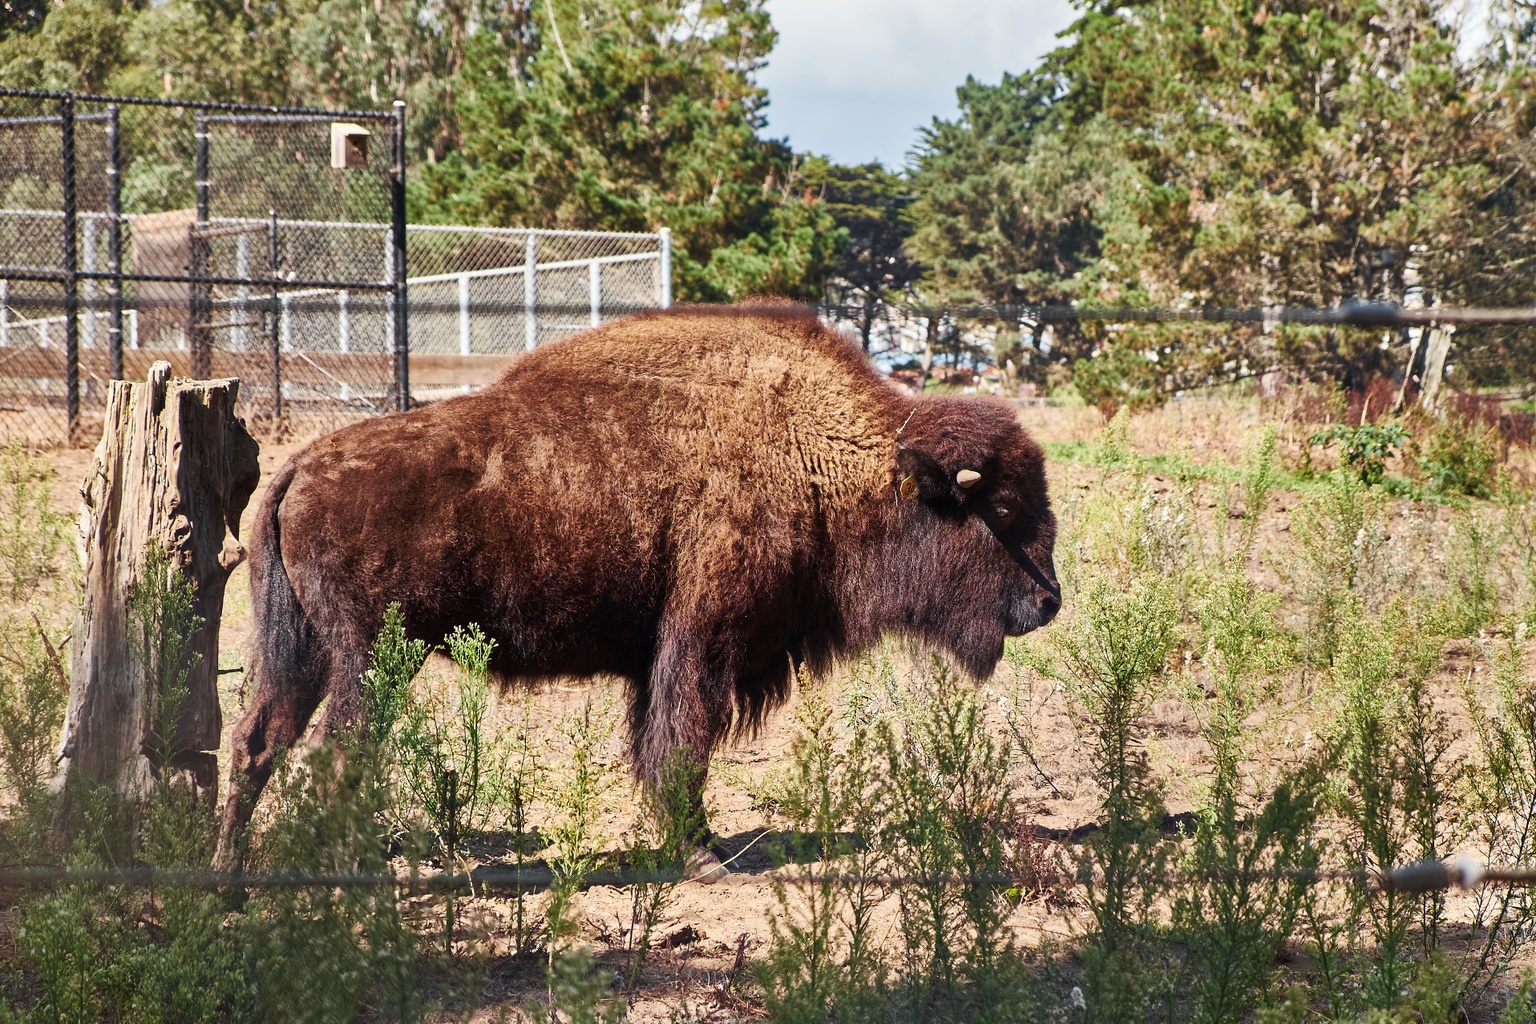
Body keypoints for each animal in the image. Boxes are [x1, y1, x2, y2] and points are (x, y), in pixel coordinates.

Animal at [215, 306, 1059, 874]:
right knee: (334, 752)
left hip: (303, 649)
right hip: (370, 659)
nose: (1049, 602)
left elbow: (657, 740)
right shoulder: (703, 642)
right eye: (1002, 511)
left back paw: (231, 880)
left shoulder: (663, 658)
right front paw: (703, 856)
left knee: (260, 739)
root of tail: (300, 465)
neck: (818, 459)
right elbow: (681, 743)